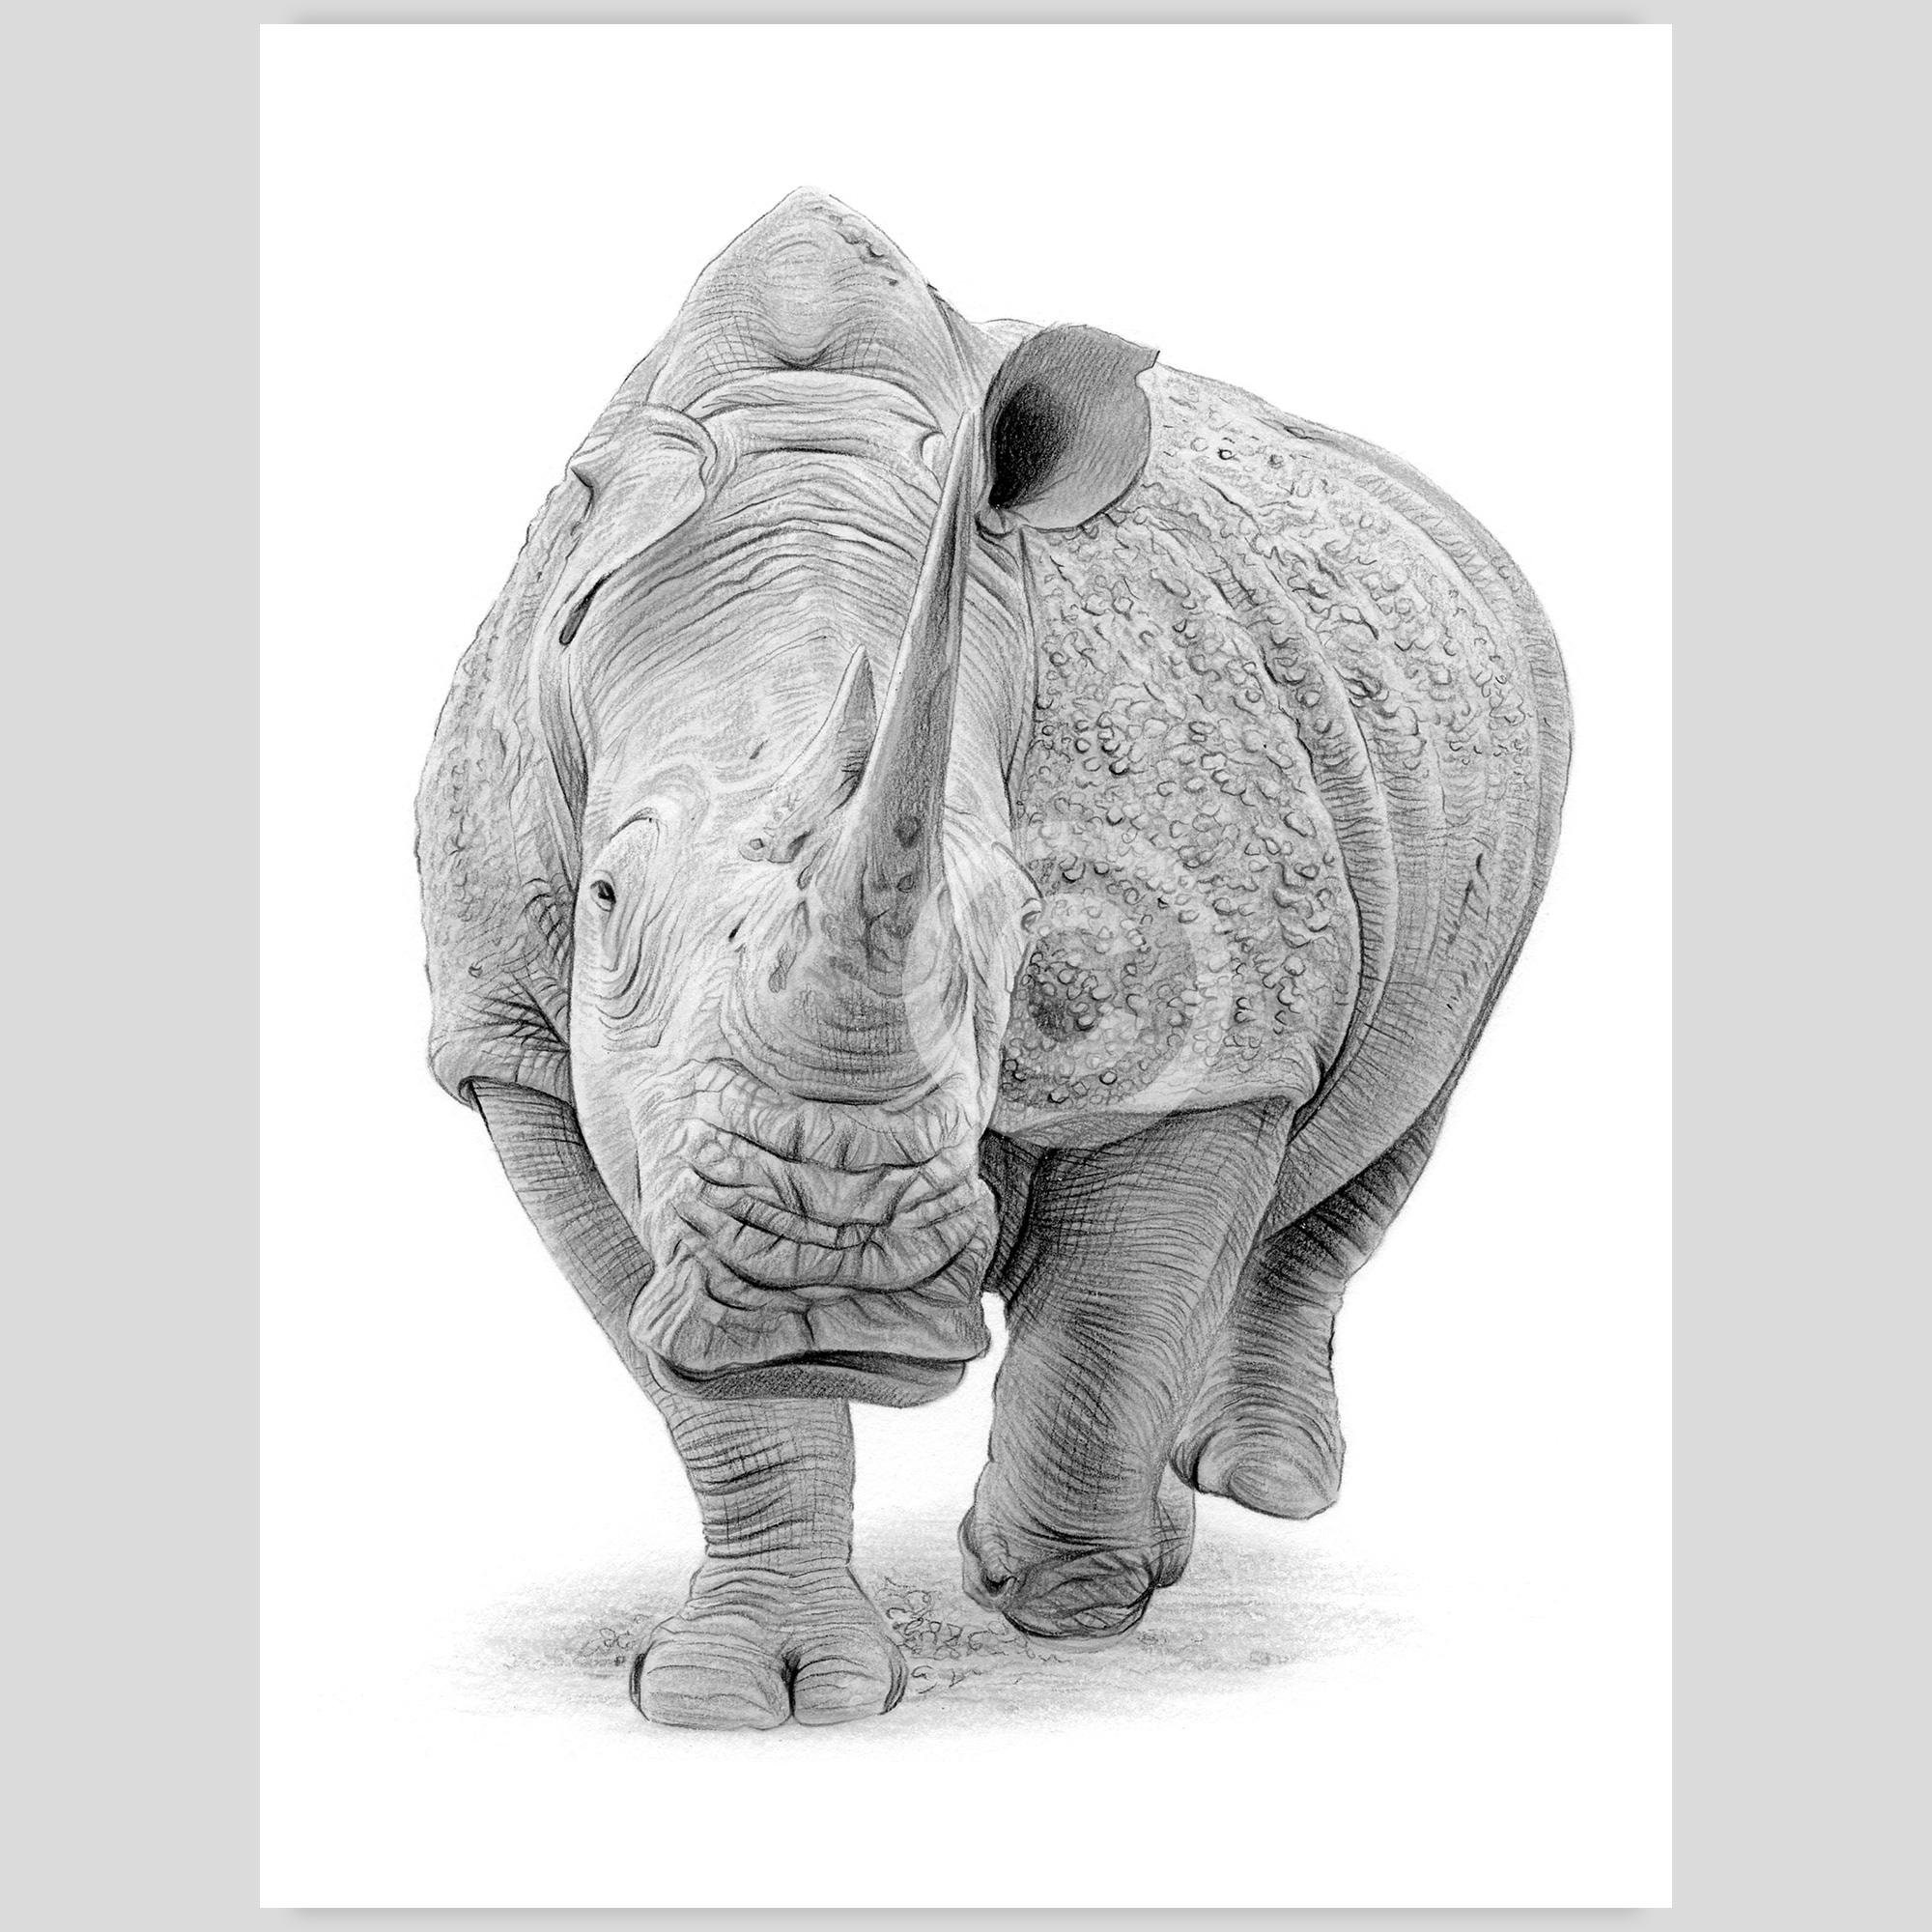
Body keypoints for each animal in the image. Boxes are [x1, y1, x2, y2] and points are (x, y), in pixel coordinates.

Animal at [416, 190, 1570, 1729]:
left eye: (1025, 920)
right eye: (604, 898)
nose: (828, 1273)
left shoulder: (1212, 1042)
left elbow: (1113, 1307)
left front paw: (1060, 1600)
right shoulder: (515, 1043)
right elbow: (710, 1395)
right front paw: (741, 1694)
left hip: (1522, 735)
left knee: (1392, 1112)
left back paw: (1257, 1491)